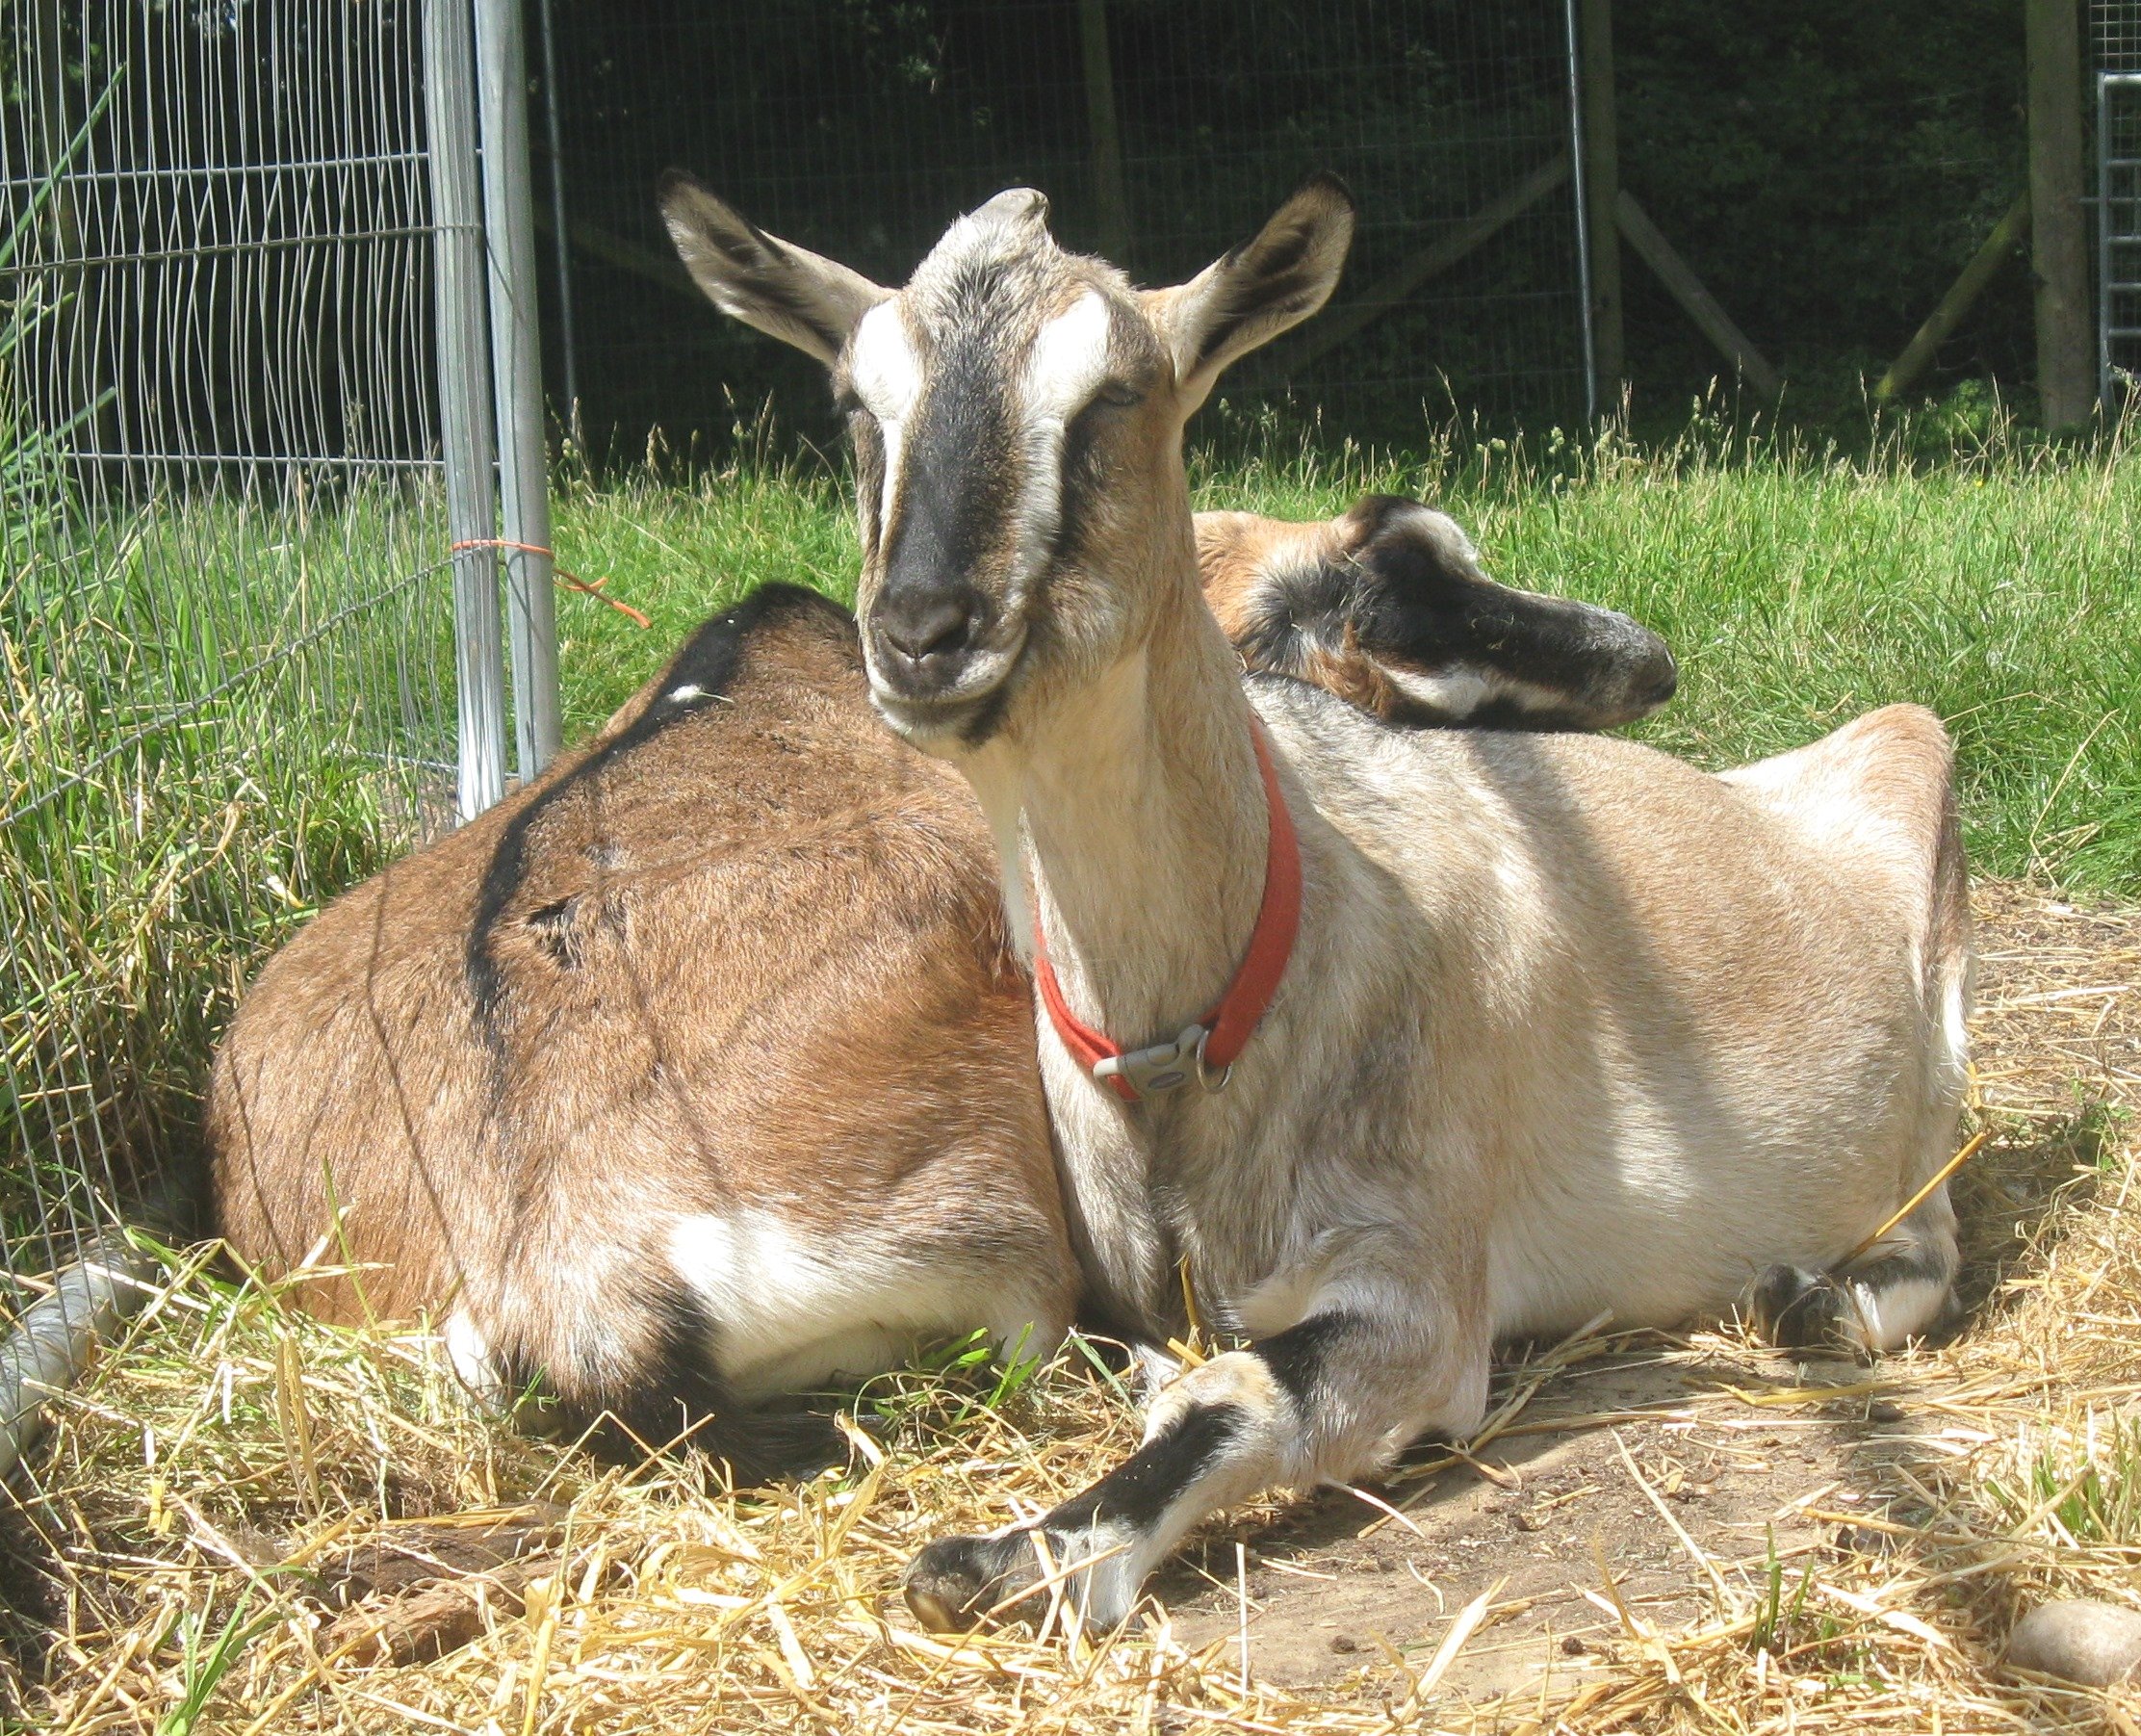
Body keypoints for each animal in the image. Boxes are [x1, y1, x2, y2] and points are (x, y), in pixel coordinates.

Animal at [653, 172, 1972, 1628]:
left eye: (1116, 392)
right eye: (855, 401)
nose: (924, 629)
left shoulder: (1421, 1282)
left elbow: (1235, 1390)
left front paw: (1012, 1558)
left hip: (1930, 979)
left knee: (1933, 1220)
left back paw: (1820, 1297)